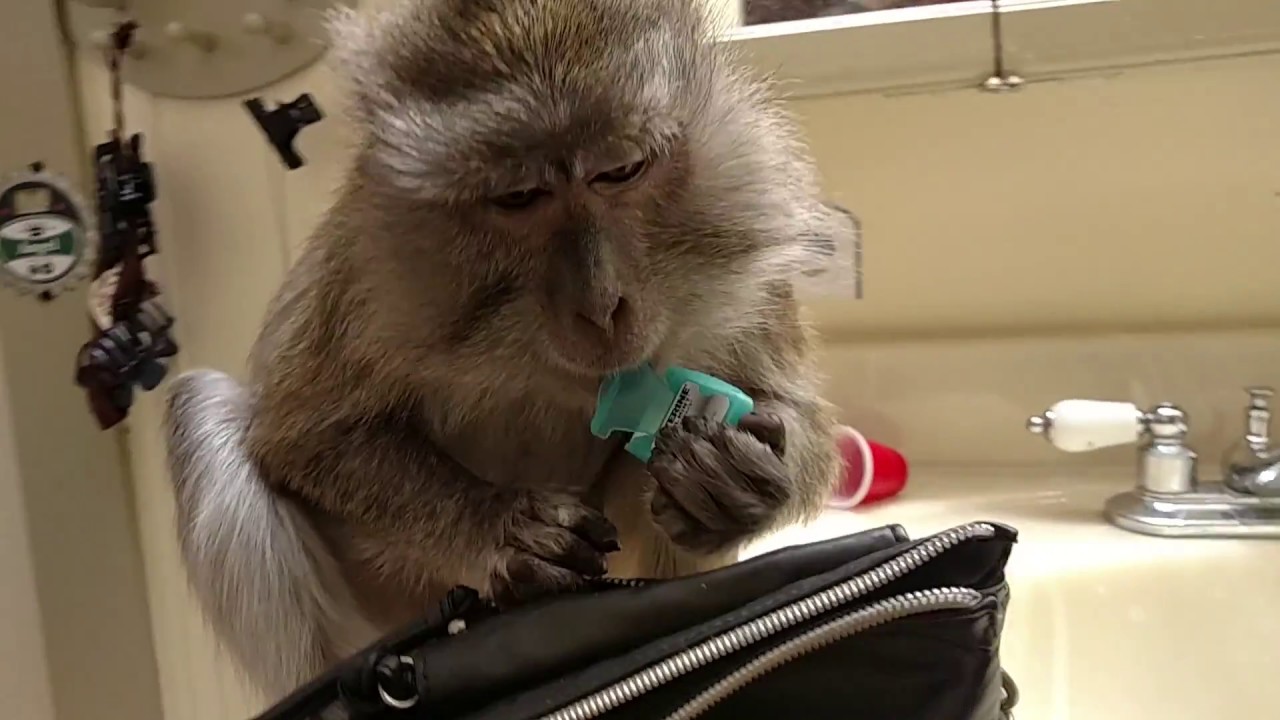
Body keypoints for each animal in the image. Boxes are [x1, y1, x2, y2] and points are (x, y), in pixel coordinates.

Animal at [164, 0, 856, 705]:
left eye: (619, 171)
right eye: (520, 197)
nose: (600, 306)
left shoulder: (748, 261)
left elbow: (786, 405)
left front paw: (735, 474)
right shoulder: (367, 266)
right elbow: (303, 437)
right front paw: (500, 524)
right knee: (202, 409)